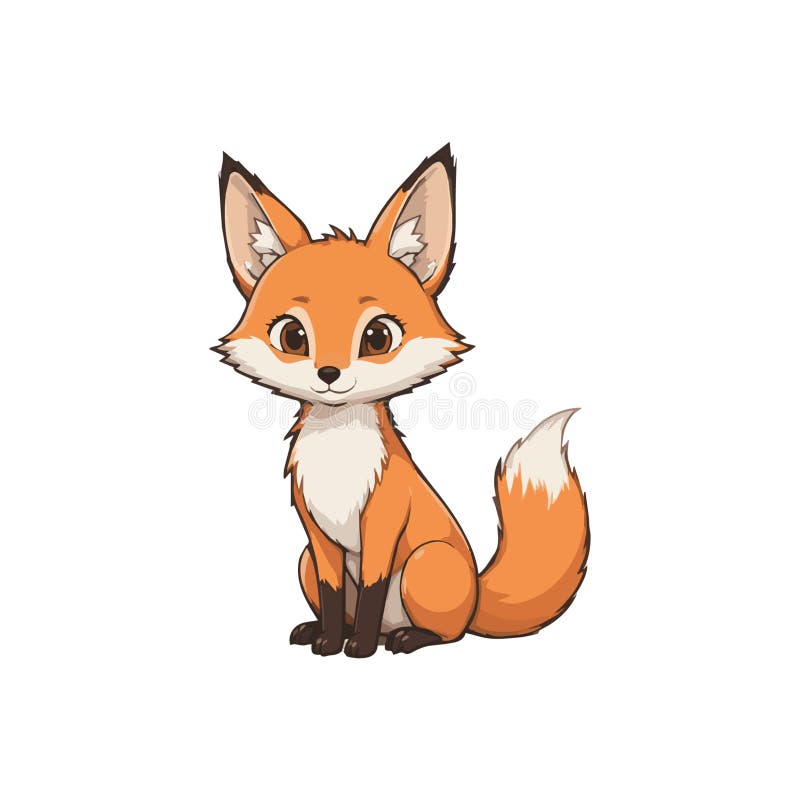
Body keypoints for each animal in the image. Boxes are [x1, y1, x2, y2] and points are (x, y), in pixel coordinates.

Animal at [213, 145, 590, 657]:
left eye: (377, 337)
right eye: (293, 337)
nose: (328, 375)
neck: (339, 461)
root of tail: (477, 593)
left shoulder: (384, 522)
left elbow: (371, 590)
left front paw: (359, 648)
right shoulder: (317, 536)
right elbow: (334, 595)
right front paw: (331, 640)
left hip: (426, 564)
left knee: (448, 634)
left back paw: (405, 637)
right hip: (304, 561)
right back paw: (325, 630)